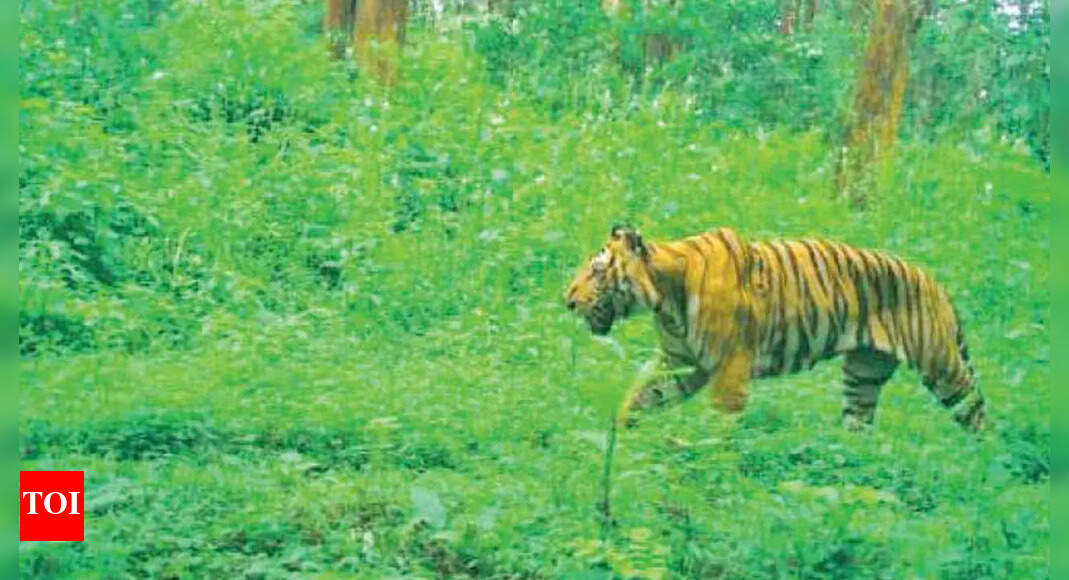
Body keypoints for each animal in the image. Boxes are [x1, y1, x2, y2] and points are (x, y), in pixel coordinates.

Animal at [564, 225, 985, 432]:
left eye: (597, 271)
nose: (567, 299)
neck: (664, 298)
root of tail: (936, 283)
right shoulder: (680, 361)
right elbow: (640, 396)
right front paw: (619, 435)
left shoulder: (730, 365)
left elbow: (721, 419)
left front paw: (707, 458)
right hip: (863, 373)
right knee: (859, 423)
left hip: (941, 365)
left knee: (974, 407)